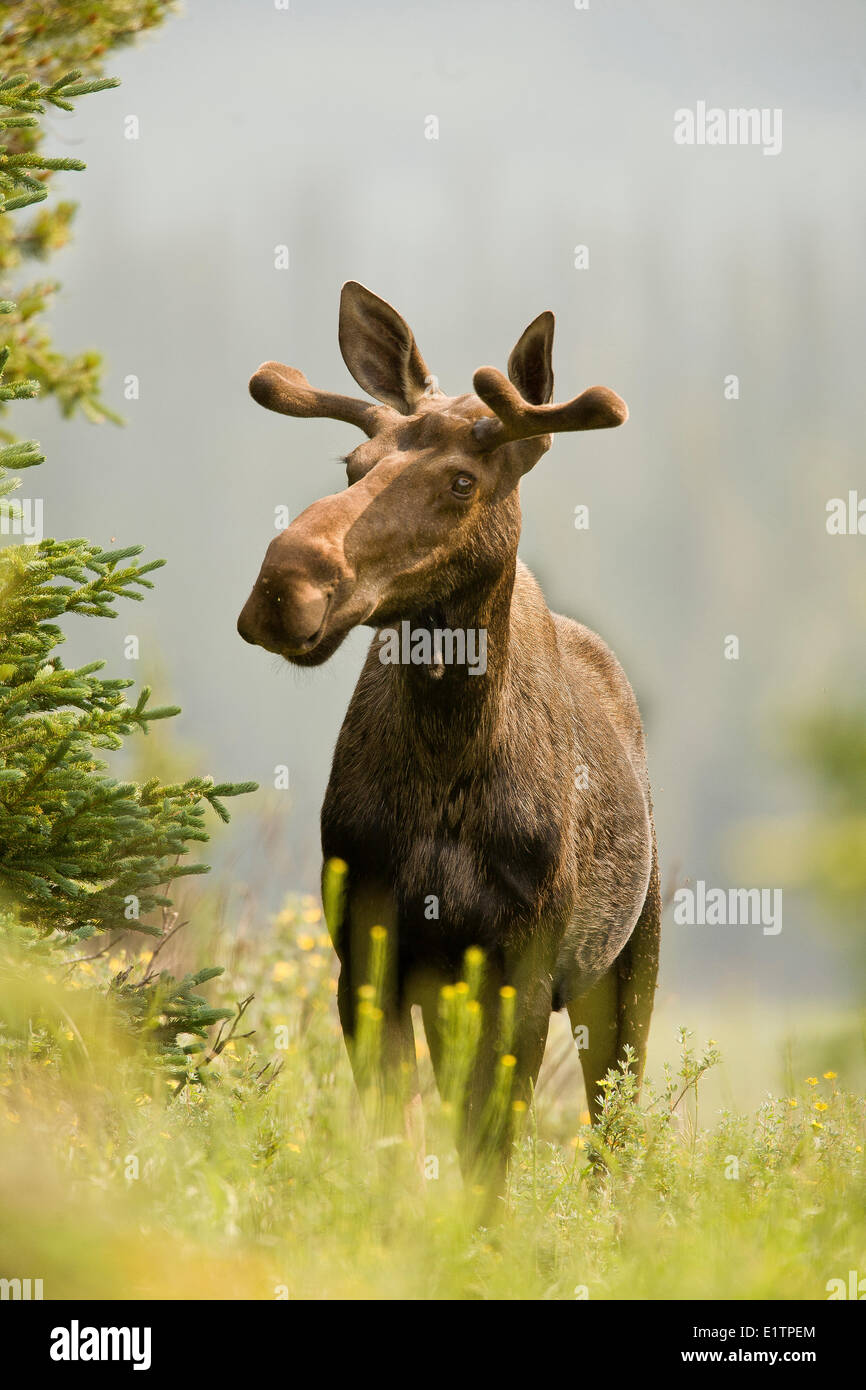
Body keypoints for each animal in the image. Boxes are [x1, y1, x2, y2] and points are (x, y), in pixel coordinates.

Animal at [238, 282, 660, 1194]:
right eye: (352, 465)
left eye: (463, 480)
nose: (284, 585)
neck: (446, 766)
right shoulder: (369, 951)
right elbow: (399, 1142)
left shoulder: (523, 968)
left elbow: (487, 1158)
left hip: (632, 956)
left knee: (618, 1128)